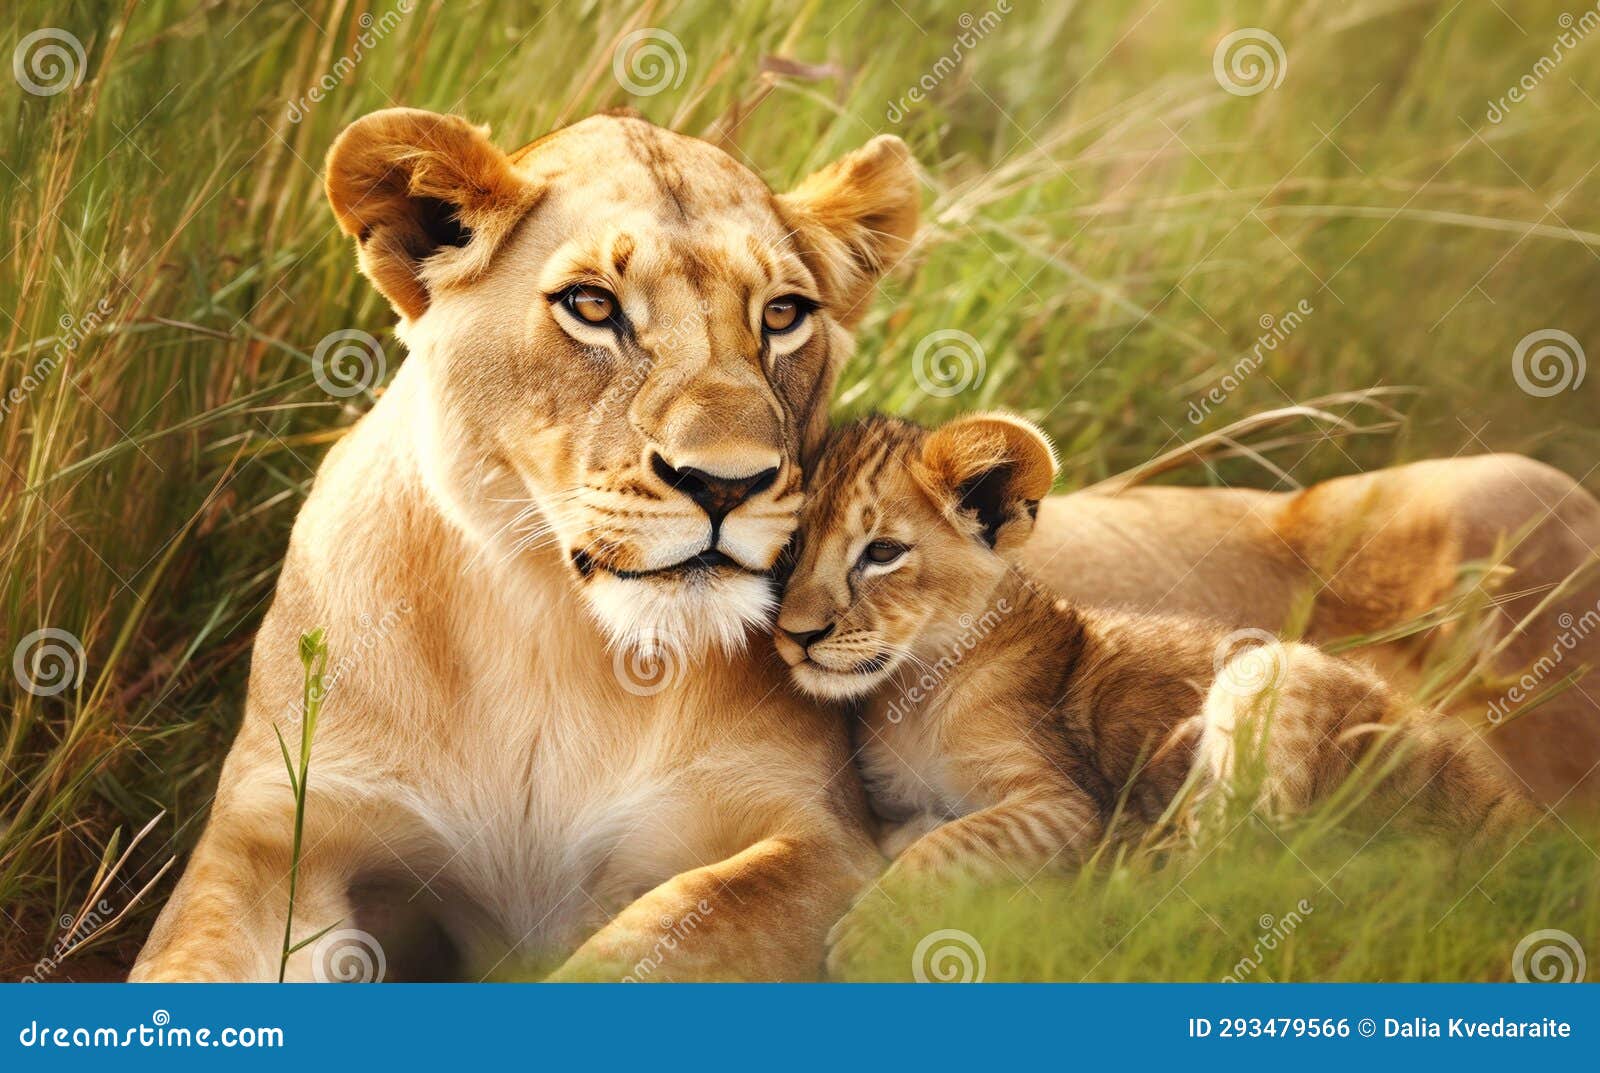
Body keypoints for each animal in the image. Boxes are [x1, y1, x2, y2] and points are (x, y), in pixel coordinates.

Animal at [132, 107, 1598, 982]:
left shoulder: (819, 841)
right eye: (591, 306)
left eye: (783, 314)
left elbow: (652, 943)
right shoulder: (271, 844)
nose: (726, 485)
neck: (546, 630)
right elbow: (180, 977)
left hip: (1495, 504)